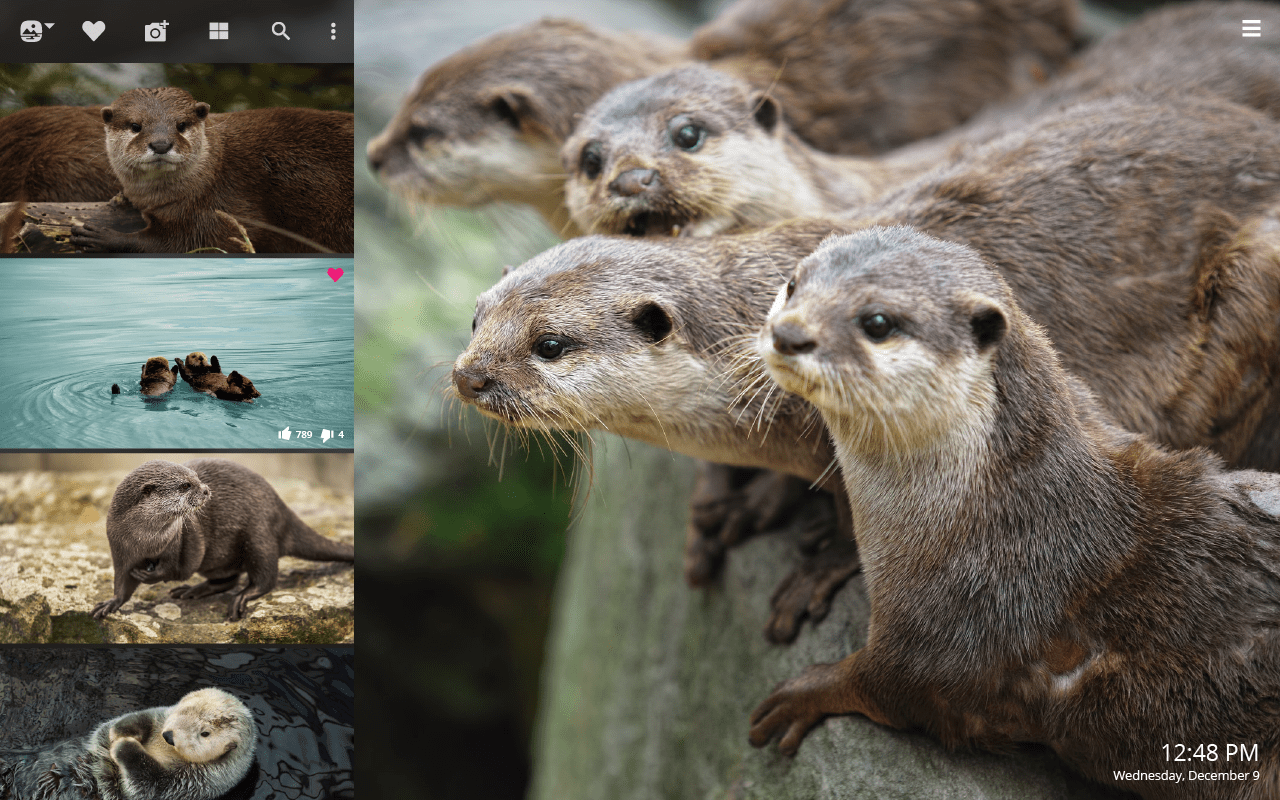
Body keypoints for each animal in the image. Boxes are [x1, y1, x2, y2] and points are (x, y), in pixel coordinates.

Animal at [0, 688, 256, 800]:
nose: (169, 736)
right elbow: (140, 718)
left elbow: (148, 783)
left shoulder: (194, 781)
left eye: (205, 733)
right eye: (184, 709)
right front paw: (121, 731)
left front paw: (124, 746)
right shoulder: (159, 716)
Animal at [69, 88, 353, 254]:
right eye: (135, 126)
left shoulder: (224, 207)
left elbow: (198, 242)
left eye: (181, 125)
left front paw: (107, 237)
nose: (161, 144)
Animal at [90, 458, 355, 621]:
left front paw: (153, 575)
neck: (145, 540)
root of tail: (281, 508)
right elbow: (122, 584)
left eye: (196, 478)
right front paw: (110, 603)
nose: (206, 490)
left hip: (259, 534)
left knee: (266, 577)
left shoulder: (178, 545)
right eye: (185, 485)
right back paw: (194, 590)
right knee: (228, 579)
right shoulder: (119, 551)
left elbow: (174, 569)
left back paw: (242, 597)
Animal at [749, 226, 1280, 800]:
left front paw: (806, 691)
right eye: (792, 283)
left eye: (878, 322)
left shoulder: (964, 618)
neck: (996, 510)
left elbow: (890, 685)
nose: (788, 333)